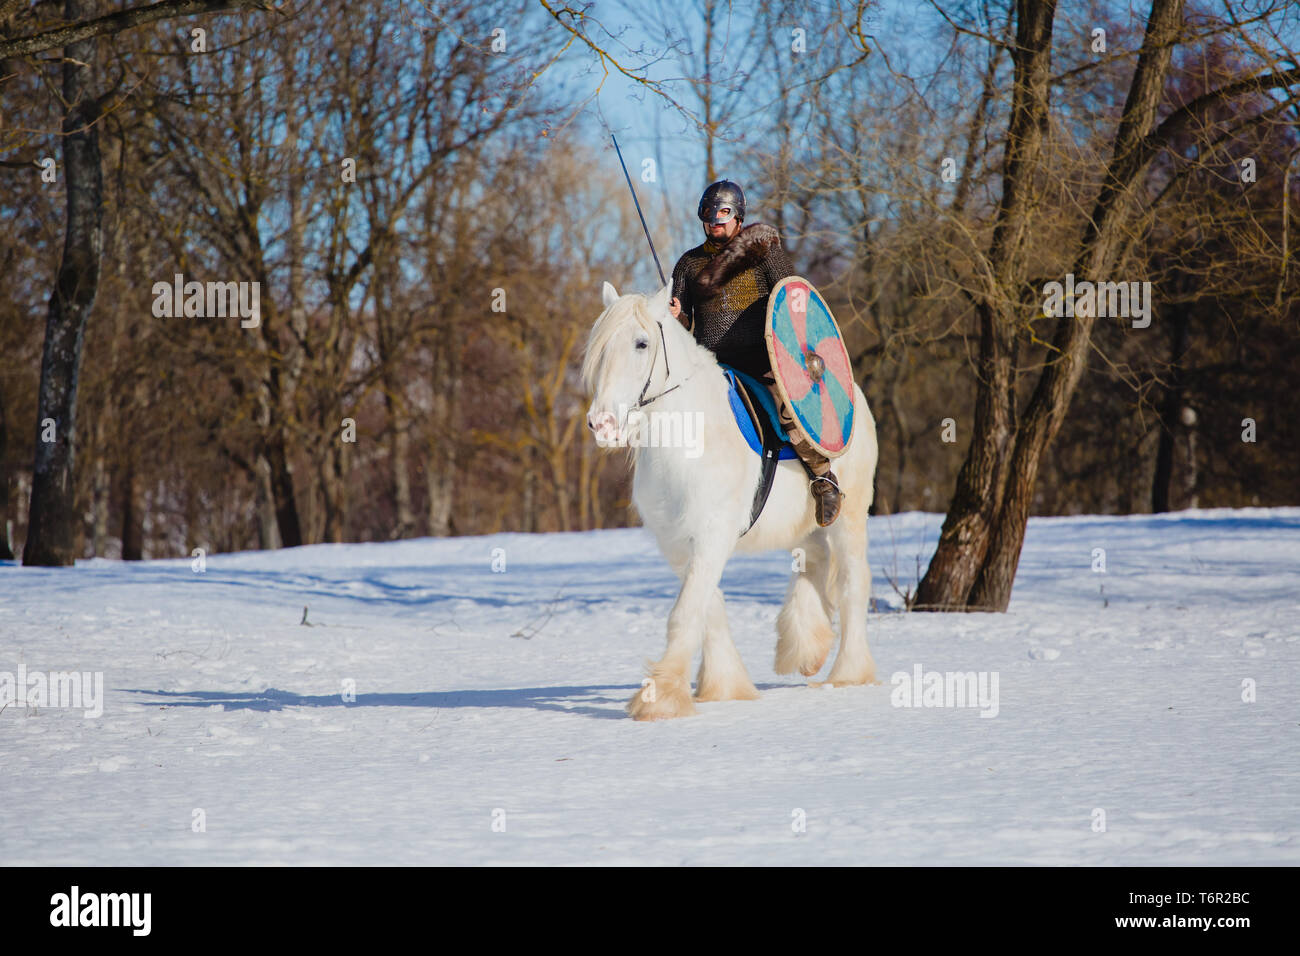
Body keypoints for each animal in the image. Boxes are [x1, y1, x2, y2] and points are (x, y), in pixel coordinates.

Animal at [583, 280, 880, 720]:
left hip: (850, 516)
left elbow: (687, 611)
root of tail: (857, 400)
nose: (602, 423)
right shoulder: (679, 544)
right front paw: (725, 686)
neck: (689, 437)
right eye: (600, 347)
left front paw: (661, 697)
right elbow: (708, 606)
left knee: (852, 583)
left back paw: (848, 672)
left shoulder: (712, 534)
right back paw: (805, 648)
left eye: (641, 343)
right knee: (813, 560)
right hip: (802, 525)